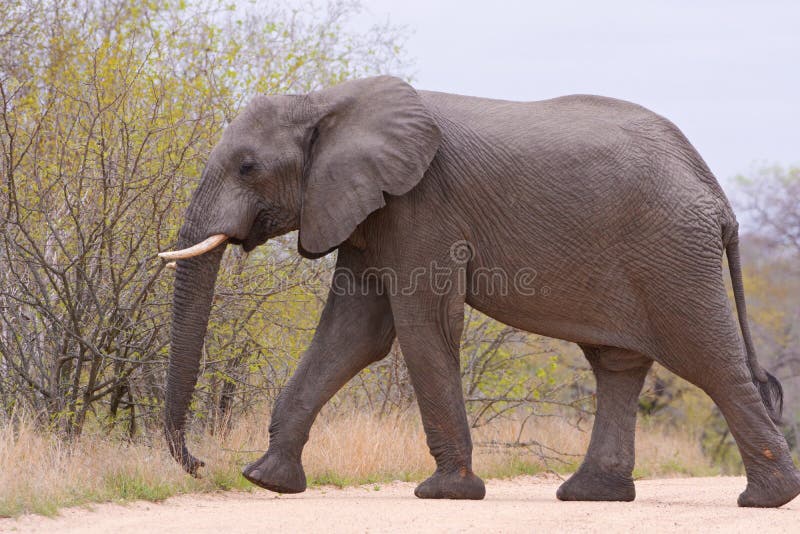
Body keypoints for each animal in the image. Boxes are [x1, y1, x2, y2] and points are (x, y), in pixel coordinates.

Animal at [160, 75, 800, 507]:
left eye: (247, 167)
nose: (198, 464)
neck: (326, 101)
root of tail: (714, 191)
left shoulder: (421, 206)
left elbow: (420, 327)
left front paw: (444, 493)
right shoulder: (366, 209)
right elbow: (355, 335)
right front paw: (265, 479)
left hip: (672, 255)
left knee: (708, 360)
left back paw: (766, 499)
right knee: (617, 364)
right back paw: (589, 495)